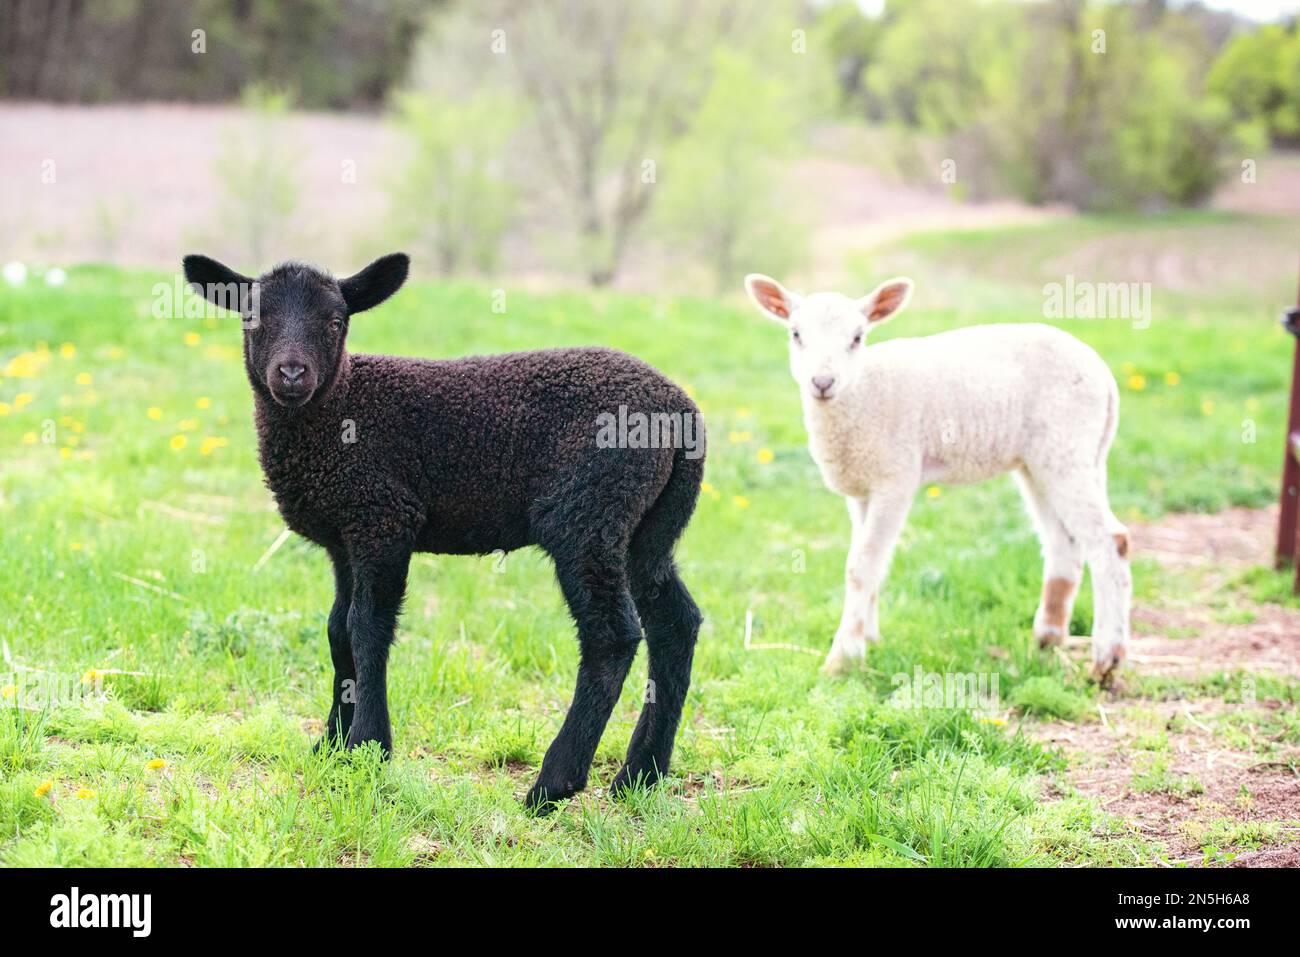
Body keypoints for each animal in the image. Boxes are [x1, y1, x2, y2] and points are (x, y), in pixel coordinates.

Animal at [183, 252, 705, 811]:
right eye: (251, 317)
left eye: (336, 321)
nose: (292, 373)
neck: (339, 410)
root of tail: (682, 413)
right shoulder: (345, 538)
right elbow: (337, 629)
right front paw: (331, 746)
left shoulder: (383, 517)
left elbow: (367, 627)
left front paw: (370, 746)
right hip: (649, 527)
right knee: (676, 622)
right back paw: (641, 774)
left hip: (588, 512)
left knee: (611, 635)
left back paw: (554, 783)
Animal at [743, 273, 1132, 685]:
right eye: (795, 333)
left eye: (858, 337)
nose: (822, 381)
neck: (863, 393)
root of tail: (1103, 374)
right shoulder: (862, 486)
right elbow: (872, 563)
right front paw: (870, 640)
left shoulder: (895, 477)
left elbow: (861, 568)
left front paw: (843, 658)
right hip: (1052, 460)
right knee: (1064, 545)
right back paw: (1046, 643)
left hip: (1067, 447)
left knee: (1110, 541)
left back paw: (1107, 659)